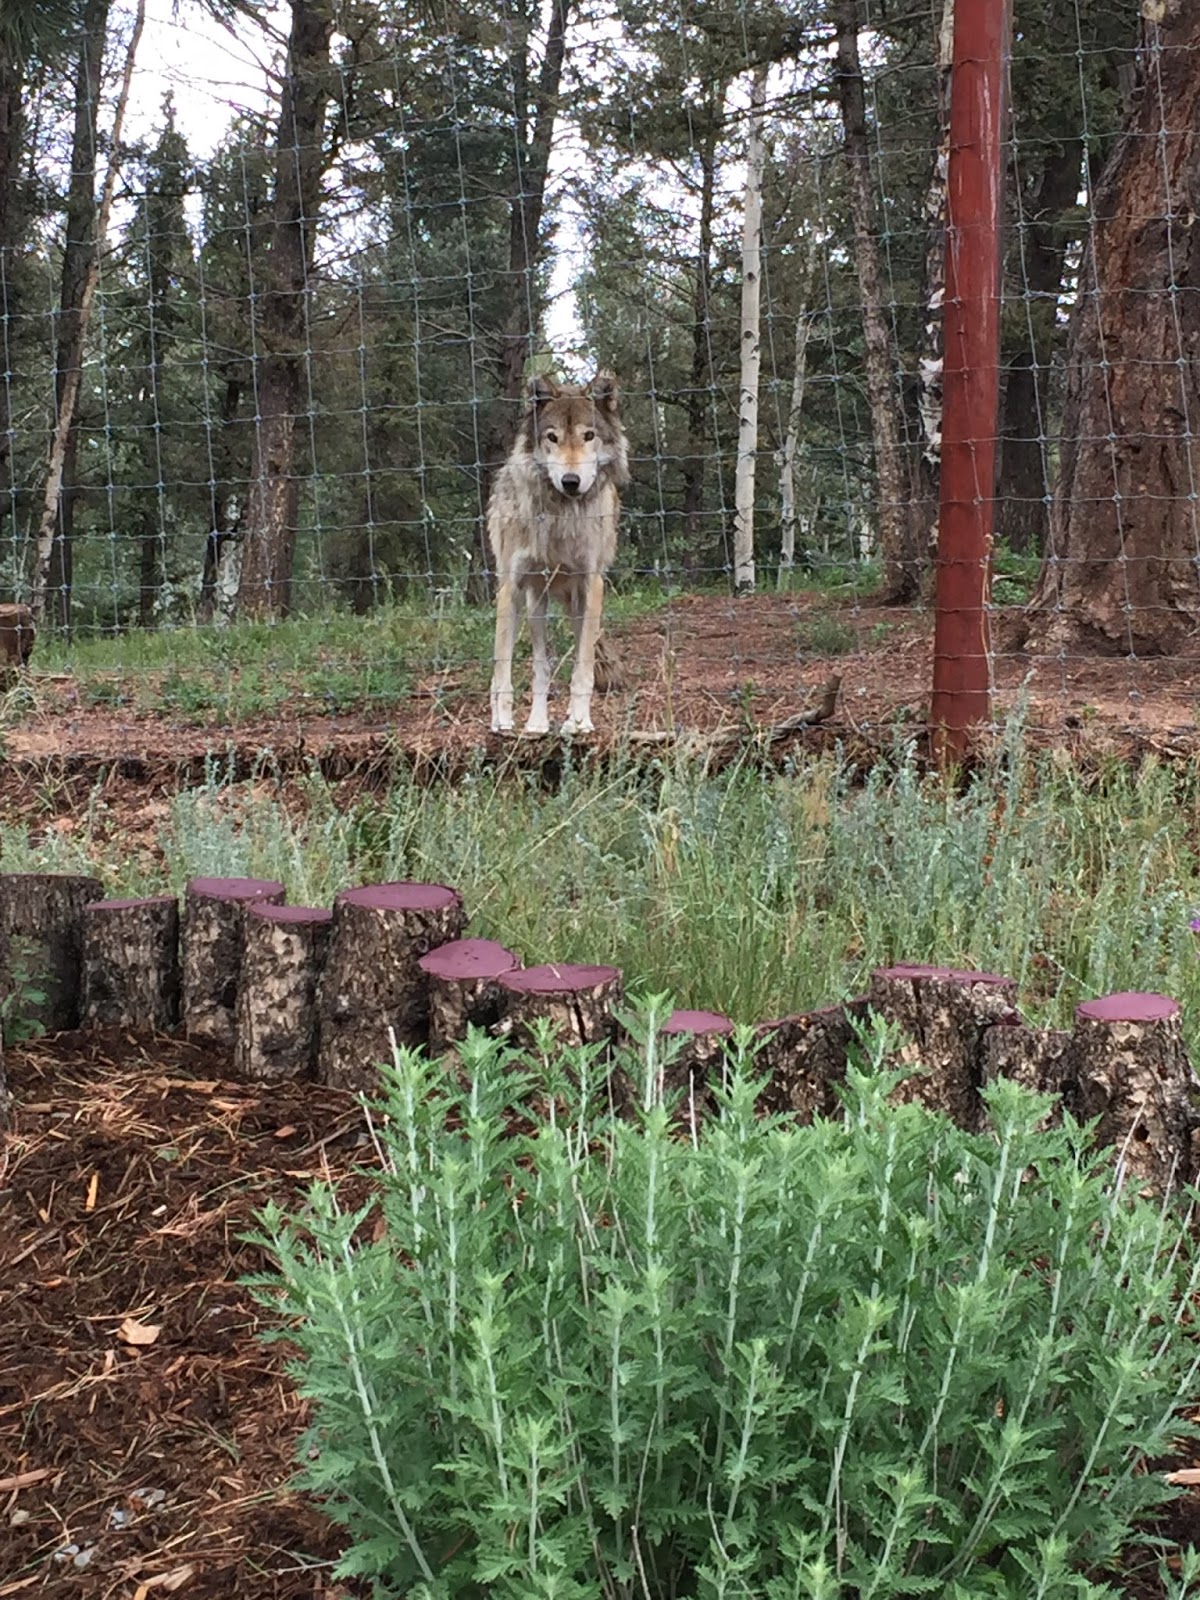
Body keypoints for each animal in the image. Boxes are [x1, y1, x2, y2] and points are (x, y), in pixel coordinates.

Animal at [488, 371, 629, 735]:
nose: (570, 481)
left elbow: (583, 667)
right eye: (552, 437)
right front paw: (502, 721)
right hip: (537, 602)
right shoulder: (512, 586)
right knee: (542, 663)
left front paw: (579, 722)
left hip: (576, 604)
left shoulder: (591, 584)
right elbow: (503, 665)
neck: (561, 514)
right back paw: (536, 724)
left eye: (589, 436)